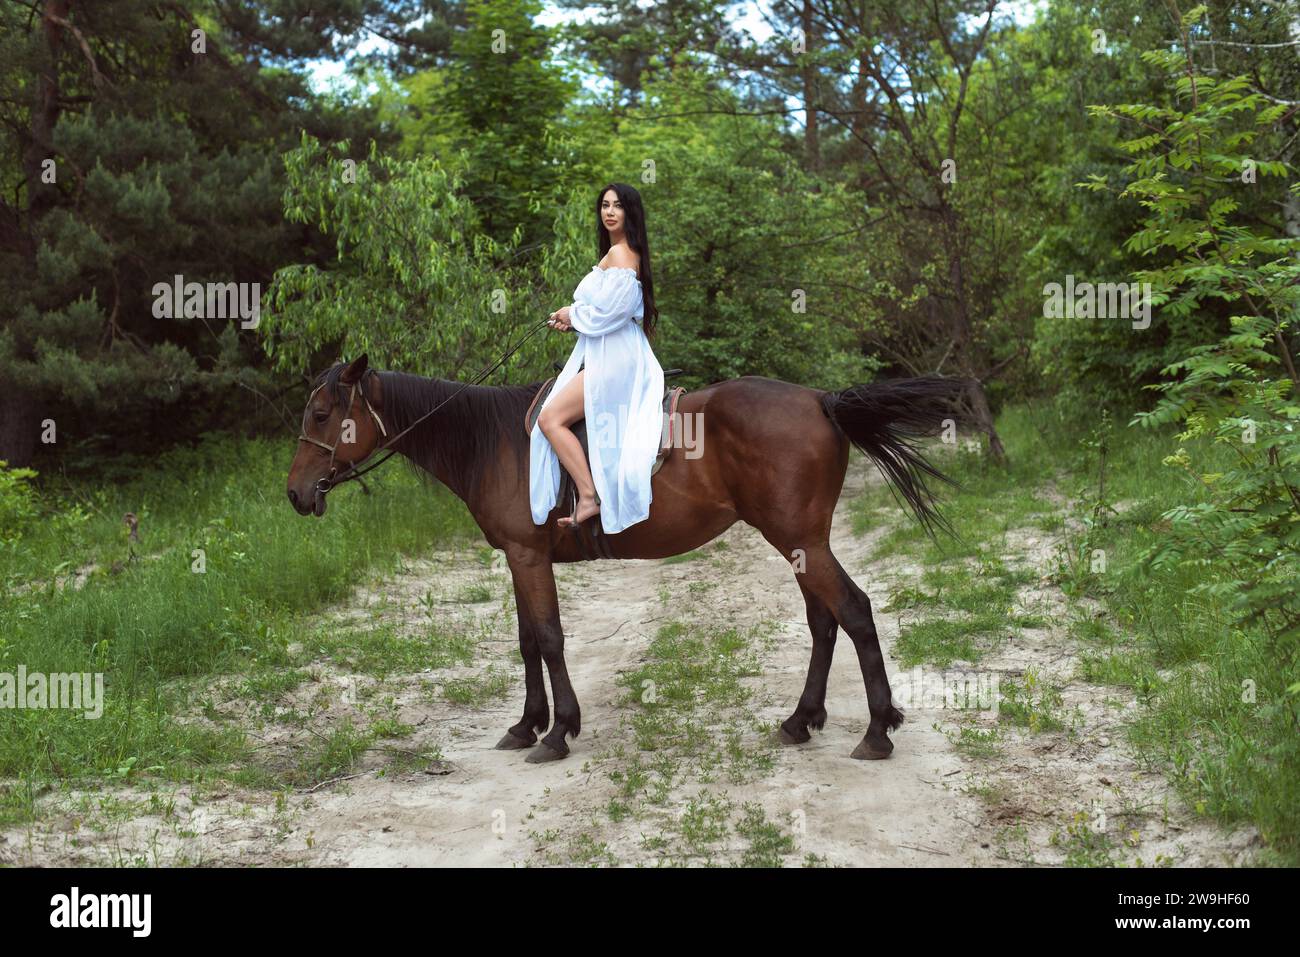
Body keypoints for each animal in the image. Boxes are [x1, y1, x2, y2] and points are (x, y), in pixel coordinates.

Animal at [287, 353, 965, 763]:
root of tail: (821, 398)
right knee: (824, 621)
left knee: (853, 611)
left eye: (321, 413)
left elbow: (550, 638)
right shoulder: (518, 559)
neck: (492, 441)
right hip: (800, 543)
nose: (295, 494)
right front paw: (525, 724)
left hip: (803, 541)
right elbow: (527, 641)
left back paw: (877, 731)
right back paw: (802, 720)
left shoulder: (528, 557)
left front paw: (558, 732)